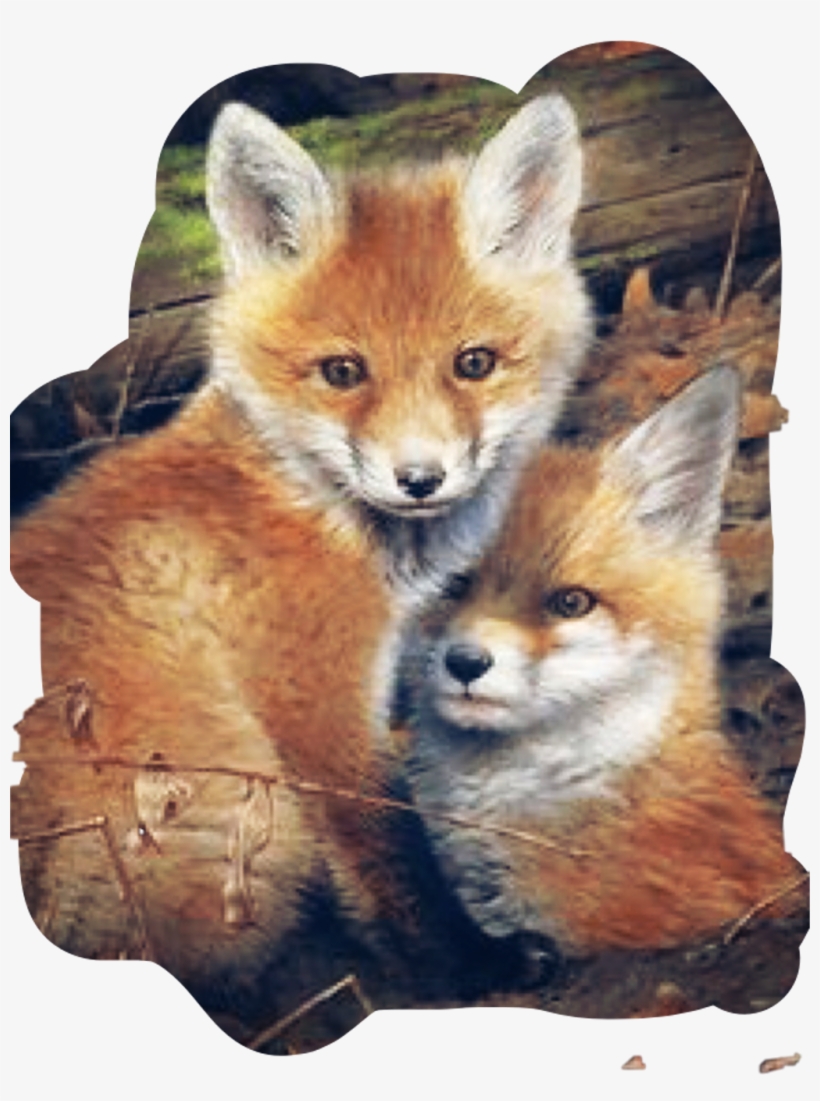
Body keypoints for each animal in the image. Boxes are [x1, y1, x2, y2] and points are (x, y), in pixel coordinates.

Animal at [10, 94, 589, 1027]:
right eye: (342, 371)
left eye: (474, 363)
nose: (419, 478)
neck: (300, 495)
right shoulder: (315, 710)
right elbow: (396, 849)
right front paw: (472, 966)